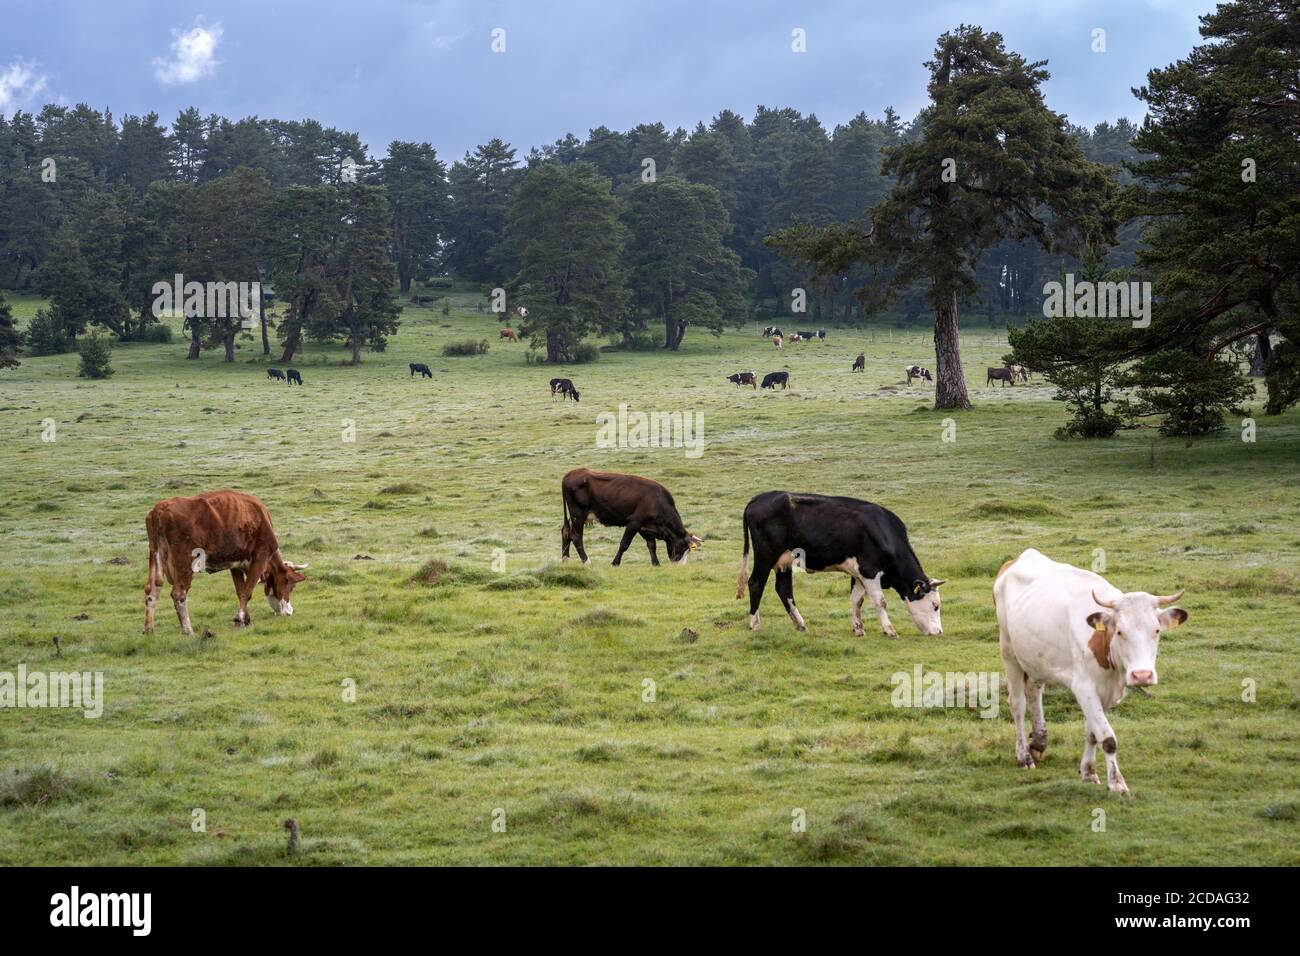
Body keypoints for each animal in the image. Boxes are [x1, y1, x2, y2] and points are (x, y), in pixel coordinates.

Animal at [144, 490, 308, 636]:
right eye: (290, 586)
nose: (289, 612)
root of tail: (160, 508)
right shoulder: (260, 557)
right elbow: (247, 591)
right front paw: (239, 620)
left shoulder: (235, 564)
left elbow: (240, 591)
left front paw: (246, 620)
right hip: (184, 561)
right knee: (179, 594)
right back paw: (188, 630)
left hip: (155, 554)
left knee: (152, 591)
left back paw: (149, 630)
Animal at [560, 468, 701, 566]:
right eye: (683, 547)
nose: (680, 566)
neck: (657, 500)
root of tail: (570, 474)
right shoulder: (634, 522)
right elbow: (624, 544)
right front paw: (615, 563)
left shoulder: (644, 526)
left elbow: (652, 545)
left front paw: (656, 563)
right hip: (578, 514)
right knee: (576, 537)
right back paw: (586, 561)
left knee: (566, 533)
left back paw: (565, 558)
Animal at [736, 492, 944, 637]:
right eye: (935, 605)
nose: (939, 632)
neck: (882, 531)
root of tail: (757, 498)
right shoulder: (870, 571)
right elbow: (880, 601)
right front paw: (889, 630)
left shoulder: (858, 574)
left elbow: (857, 600)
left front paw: (858, 628)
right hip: (765, 556)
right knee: (756, 583)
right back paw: (754, 624)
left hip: (784, 561)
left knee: (784, 589)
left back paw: (800, 624)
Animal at [994, 549, 1188, 794]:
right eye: (1120, 632)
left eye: (1156, 630)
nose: (1142, 675)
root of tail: (1018, 558)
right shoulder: (1084, 687)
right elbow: (1107, 738)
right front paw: (1117, 783)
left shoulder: (1104, 691)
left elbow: (1093, 733)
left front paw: (1088, 772)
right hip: (1008, 650)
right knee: (1018, 704)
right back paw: (1023, 756)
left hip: (1035, 658)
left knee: (1034, 692)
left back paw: (1039, 742)